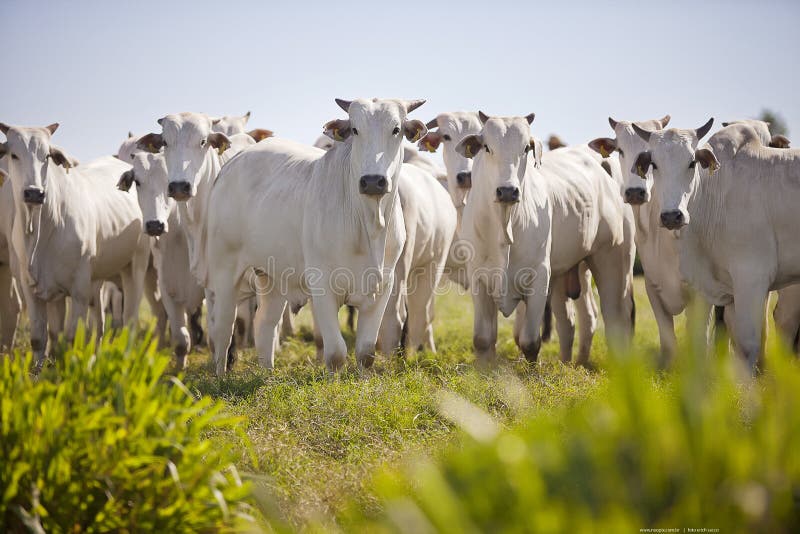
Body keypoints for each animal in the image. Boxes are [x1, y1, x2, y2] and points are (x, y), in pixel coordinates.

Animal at [0, 122, 150, 366]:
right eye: (14, 155)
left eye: (47, 155)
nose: (34, 192)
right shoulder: (33, 288)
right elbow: (42, 338)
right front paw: (39, 372)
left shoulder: (78, 288)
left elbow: (72, 338)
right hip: (97, 279)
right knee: (99, 324)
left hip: (136, 264)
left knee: (129, 320)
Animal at [202, 98, 426, 374]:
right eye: (355, 130)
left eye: (396, 129)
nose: (373, 181)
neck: (369, 225)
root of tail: (233, 163)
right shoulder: (322, 286)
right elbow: (336, 353)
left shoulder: (383, 287)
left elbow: (365, 353)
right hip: (225, 269)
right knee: (223, 328)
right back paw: (221, 375)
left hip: (272, 277)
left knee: (264, 324)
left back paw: (267, 375)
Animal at [457, 112, 634, 365]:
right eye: (487, 147)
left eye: (525, 148)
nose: (507, 191)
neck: (504, 225)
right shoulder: (479, 277)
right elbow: (483, 340)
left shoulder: (540, 276)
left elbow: (530, 342)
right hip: (569, 271)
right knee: (574, 321)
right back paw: (572, 363)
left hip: (612, 260)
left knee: (615, 319)